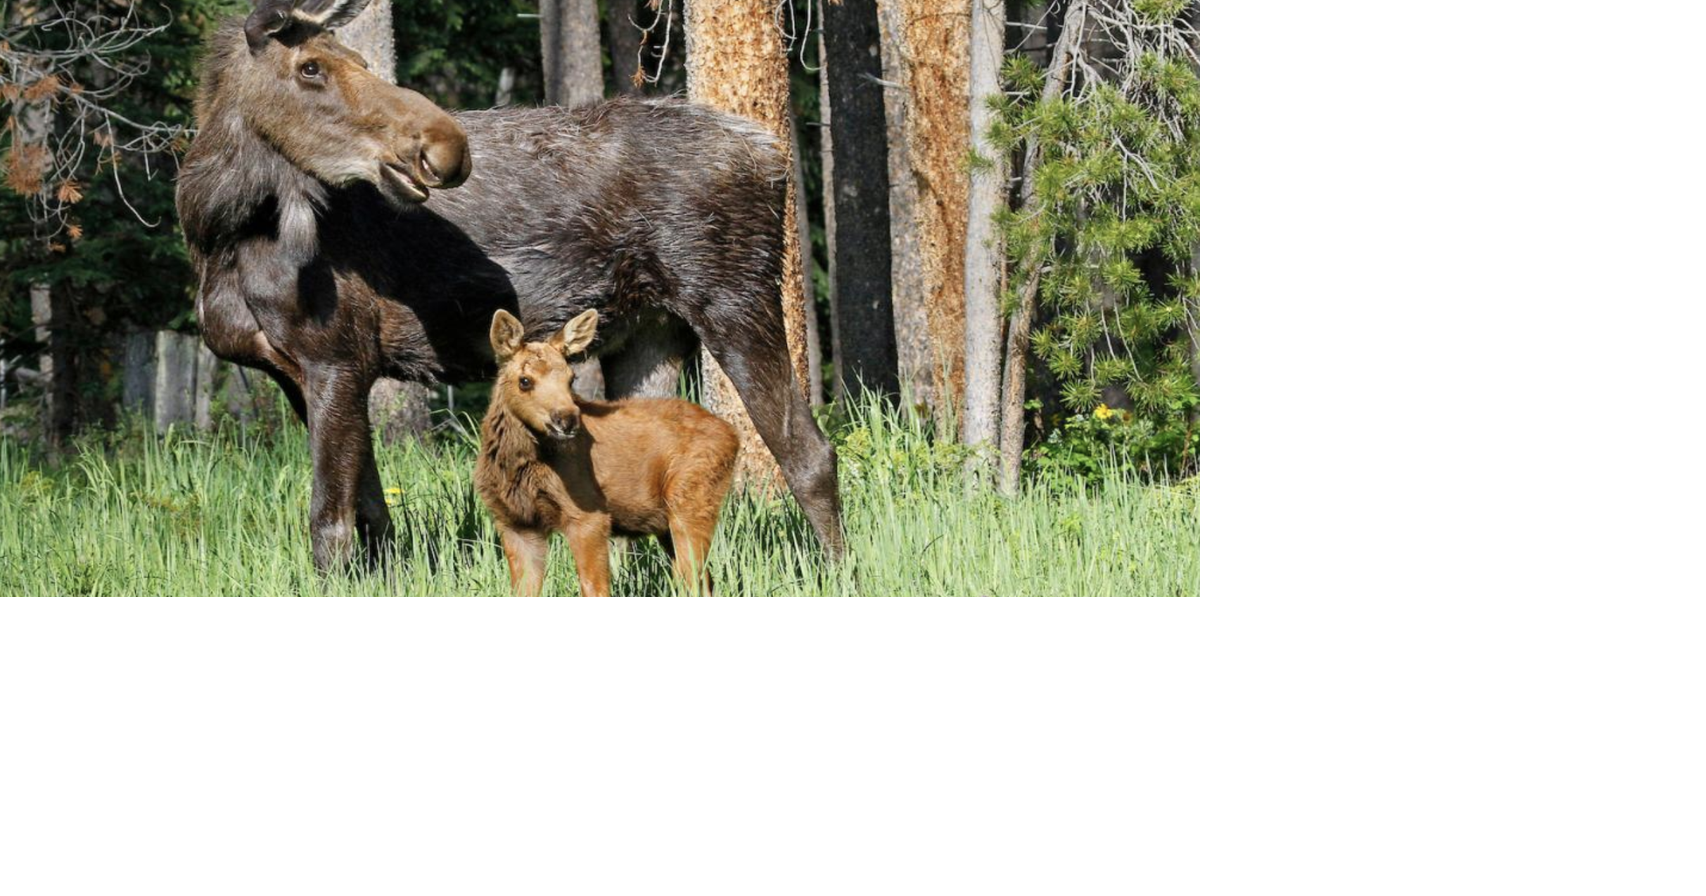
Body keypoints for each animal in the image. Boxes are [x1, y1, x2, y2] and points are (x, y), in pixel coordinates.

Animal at [476, 310, 738, 596]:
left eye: (571, 378)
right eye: (525, 381)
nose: (567, 420)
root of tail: (732, 434)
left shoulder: (589, 515)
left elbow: (594, 586)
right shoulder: (514, 523)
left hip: (692, 498)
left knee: (693, 578)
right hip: (669, 520)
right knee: (703, 579)